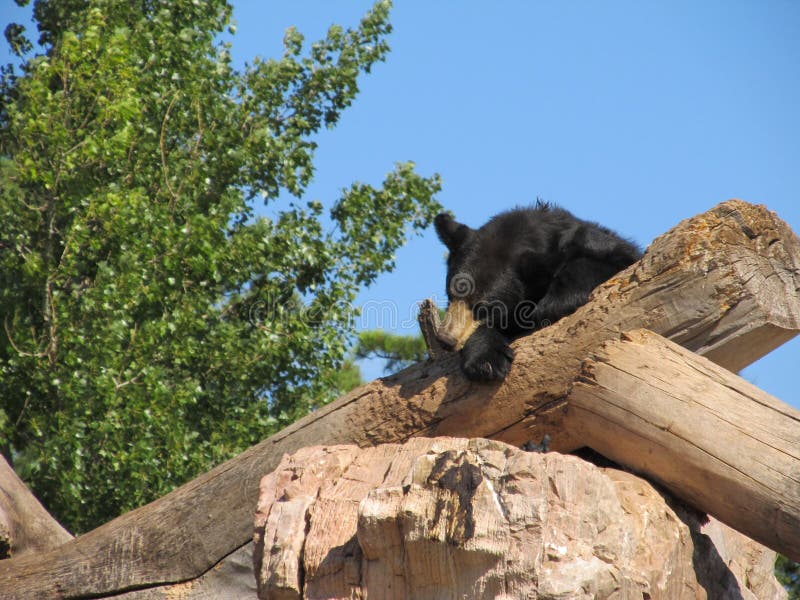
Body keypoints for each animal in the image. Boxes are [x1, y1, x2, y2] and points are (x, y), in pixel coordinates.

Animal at [434, 202, 641, 382]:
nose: (446, 340)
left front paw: (551, 306)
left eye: (484, 308)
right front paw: (486, 362)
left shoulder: (598, 245)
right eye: (450, 293)